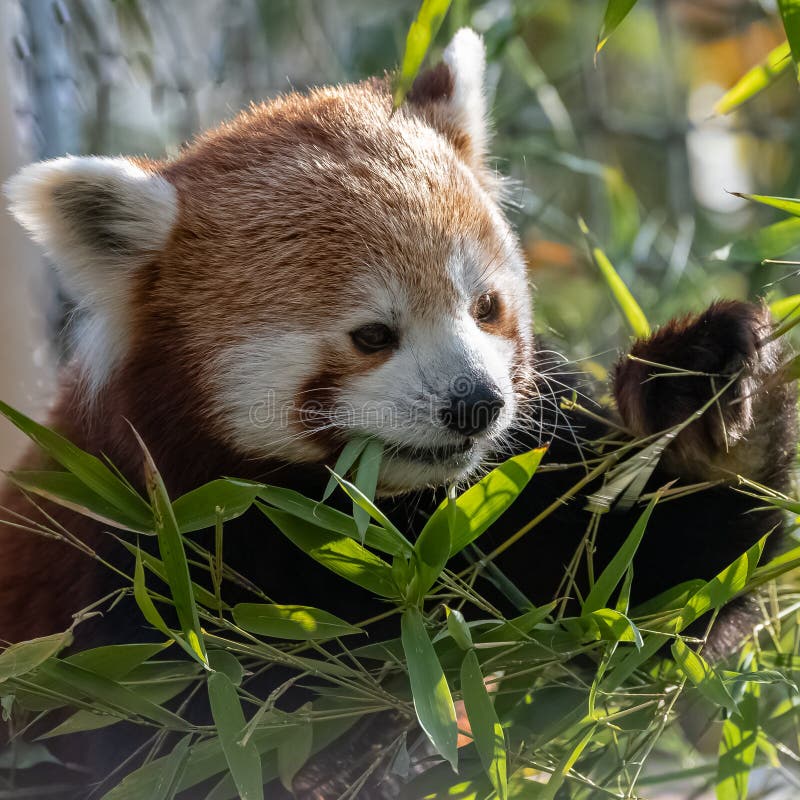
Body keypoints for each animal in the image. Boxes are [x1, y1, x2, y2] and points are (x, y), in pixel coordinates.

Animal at [0, 28, 796, 799]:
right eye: (374, 335)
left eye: (485, 307)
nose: (477, 404)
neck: (367, 526)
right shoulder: (136, 560)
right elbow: (182, 735)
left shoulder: (502, 494)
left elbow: (644, 586)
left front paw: (706, 408)